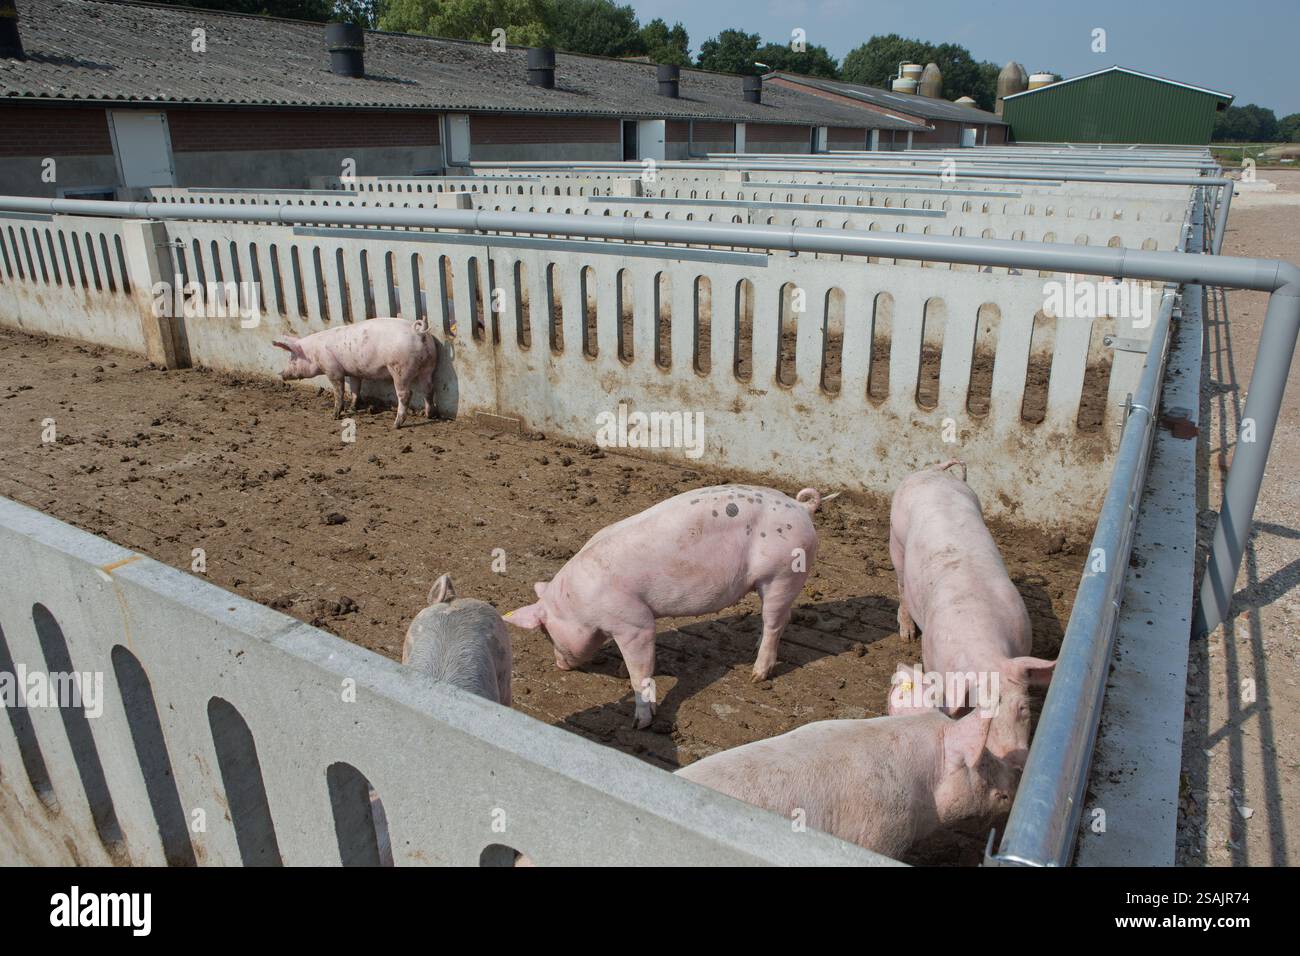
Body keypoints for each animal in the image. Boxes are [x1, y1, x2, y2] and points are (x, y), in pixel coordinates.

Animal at [272, 317, 438, 428]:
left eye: (292, 358)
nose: (281, 374)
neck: (314, 353)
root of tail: (418, 332)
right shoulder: (353, 372)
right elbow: (355, 389)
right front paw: (353, 407)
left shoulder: (333, 369)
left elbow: (339, 391)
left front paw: (335, 415)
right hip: (429, 365)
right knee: (428, 389)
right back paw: (428, 415)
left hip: (399, 369)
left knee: (406, 394)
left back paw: (396, 425)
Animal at [507, 484, 833, 729]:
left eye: (546, 633)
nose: (559, 665)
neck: (577, 601)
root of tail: (800, 507)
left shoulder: (634, 623)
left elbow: (639, 672)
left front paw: (640, 723)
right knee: (778, 619)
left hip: (782, 574)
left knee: (775, 621)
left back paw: (757, 675)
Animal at [886, 460, 1055, 767]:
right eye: (979, 709)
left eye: (1022, 707)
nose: (1014, 759)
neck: (984, 650)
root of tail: (934, 470)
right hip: (897, 542)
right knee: (901, 586)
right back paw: (906, 634)